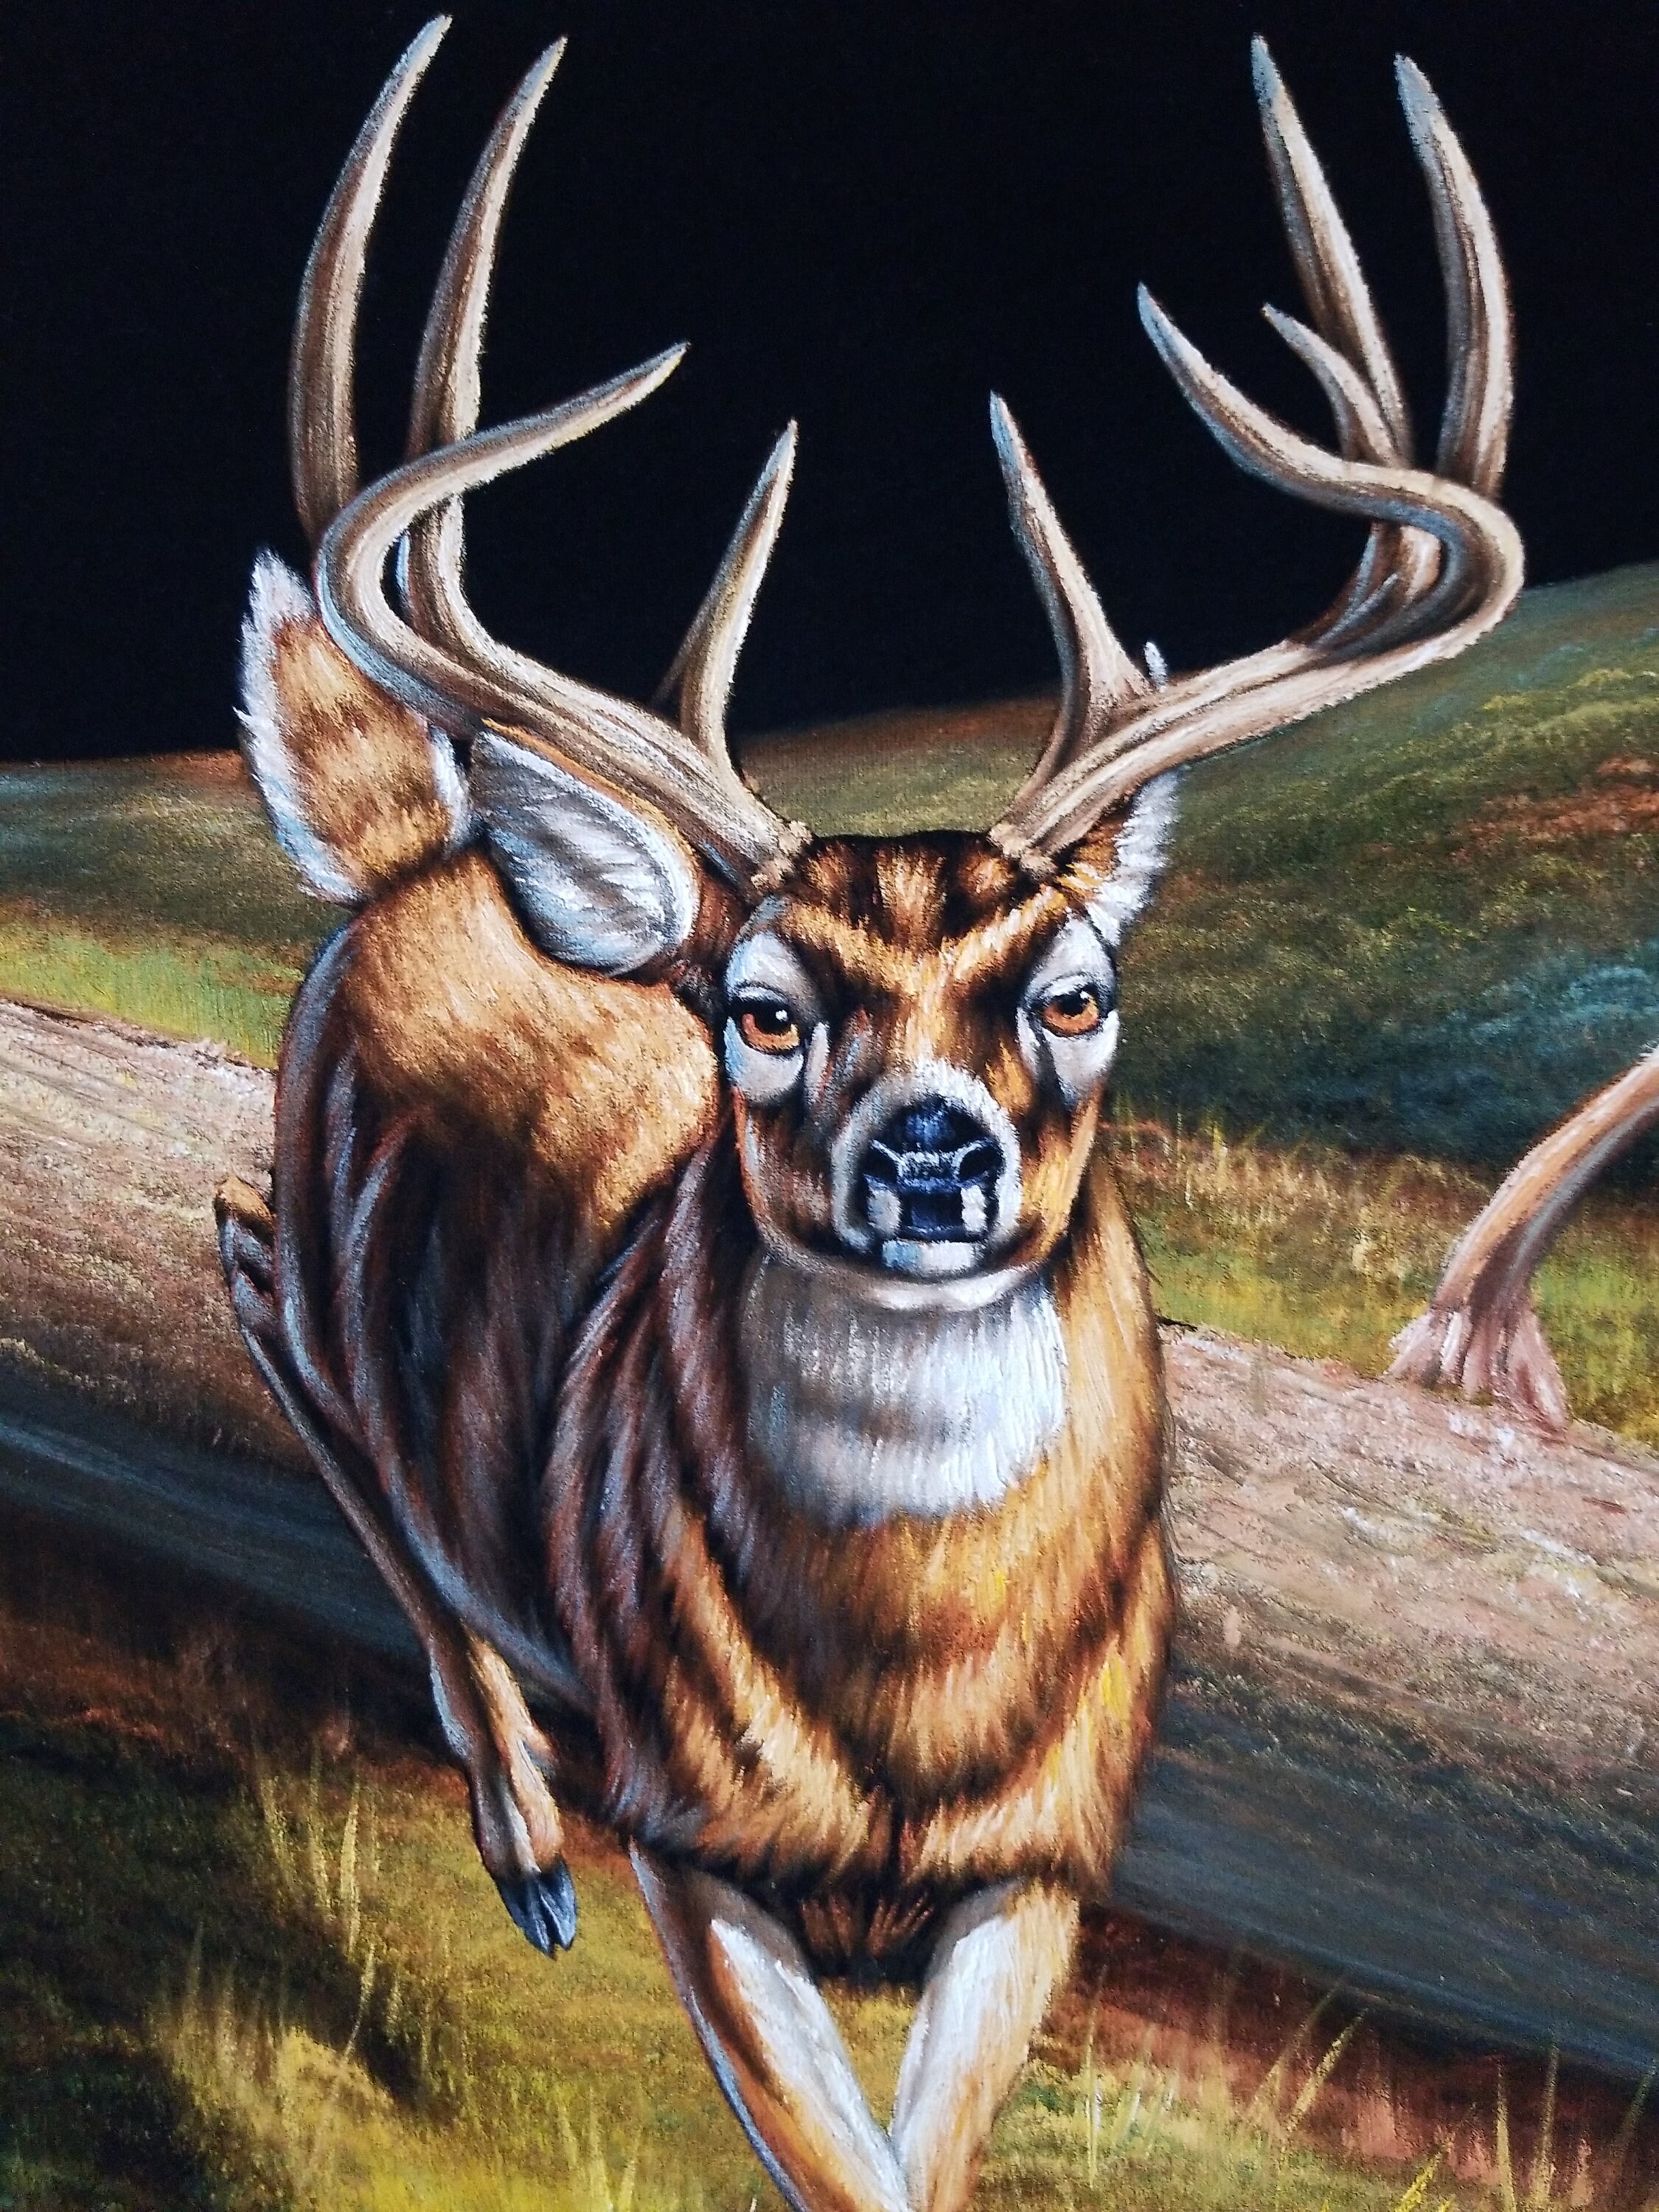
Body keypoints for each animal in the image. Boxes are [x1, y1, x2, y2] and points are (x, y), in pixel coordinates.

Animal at [216, 24, 1521, 2212]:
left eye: (1074, 992)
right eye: (762, 1009)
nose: (931, 1154)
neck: (916, 1700)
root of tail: (421, 853)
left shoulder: (1053, 1855)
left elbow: (930, 2155)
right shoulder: (693, 1830)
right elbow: (837, 2165)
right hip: (324, 1238)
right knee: (278, 1319)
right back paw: (516, 1828)